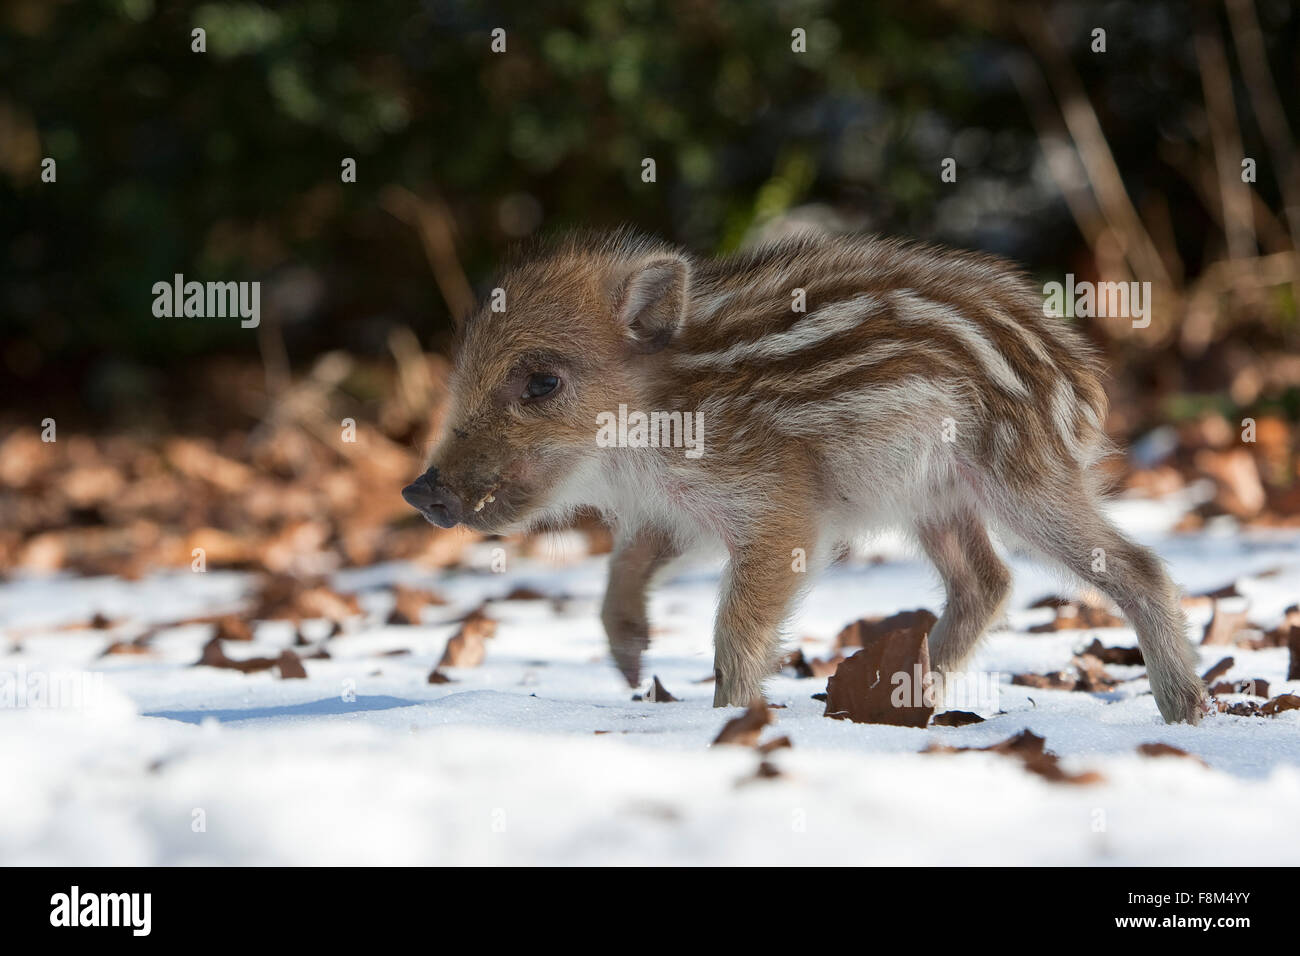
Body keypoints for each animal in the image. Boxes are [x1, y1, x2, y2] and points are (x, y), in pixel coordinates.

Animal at [402, 229, 1208, 724]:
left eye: (542, 382)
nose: (421, 491)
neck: (656, 420)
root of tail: (1082, 379)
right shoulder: (682, 513)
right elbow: (626, 566)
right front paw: (632, 667)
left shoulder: (778, 508)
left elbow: (737, 625)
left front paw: (728, 716)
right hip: (934, 497)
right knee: (986, 581)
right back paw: (907, 698)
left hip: (1020, 477)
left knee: (1135, 565)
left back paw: (1187, 712)